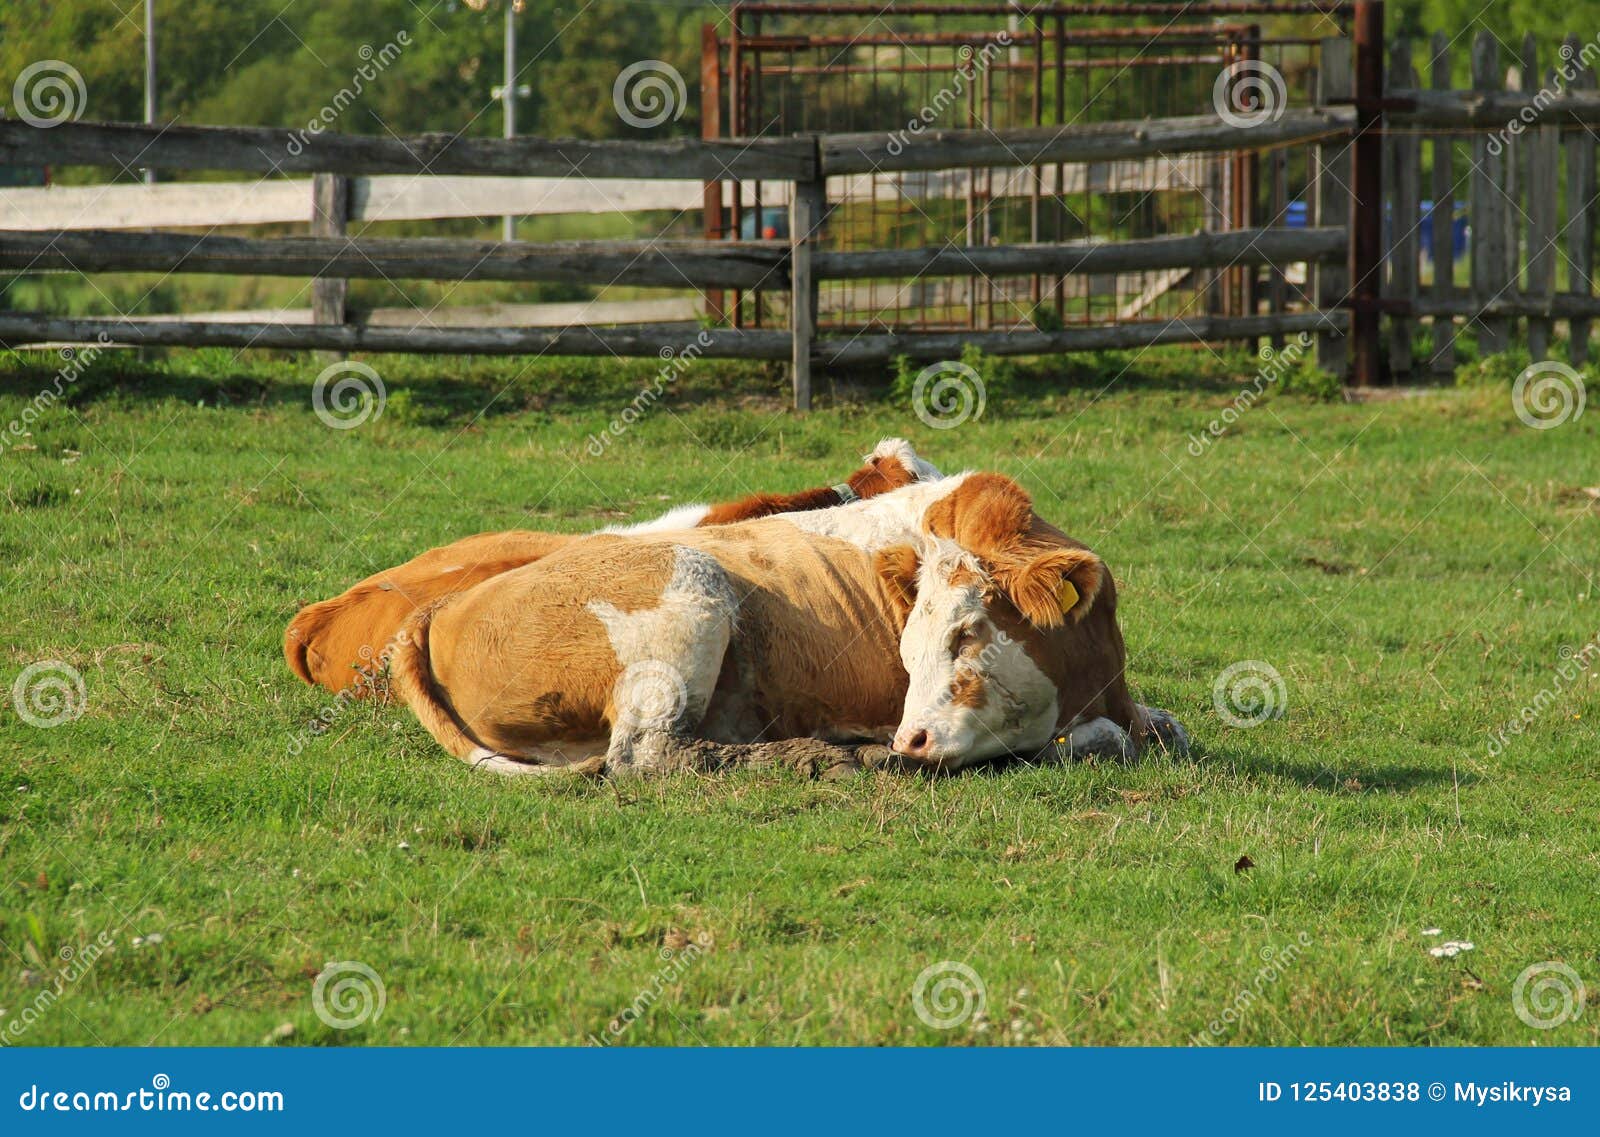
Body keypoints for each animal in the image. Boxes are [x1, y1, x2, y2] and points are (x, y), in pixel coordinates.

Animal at [389, 470, 1187, 775]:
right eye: (909, 648)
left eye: (968, 634)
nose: (909, 738)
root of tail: (442, 608)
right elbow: (1100, 738)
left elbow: (1165, 726)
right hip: (691, 590)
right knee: (651, 755)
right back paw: (820, 755)